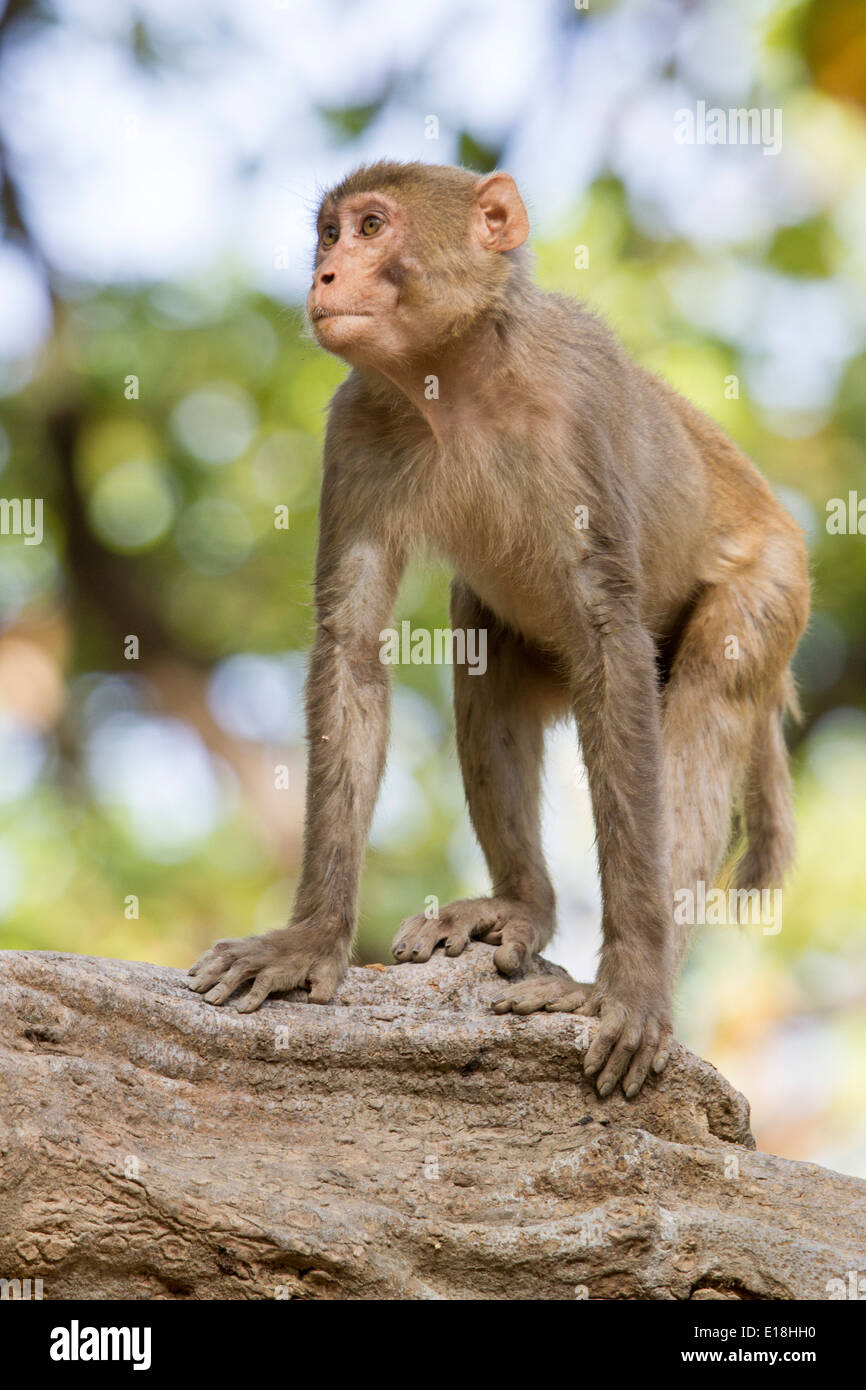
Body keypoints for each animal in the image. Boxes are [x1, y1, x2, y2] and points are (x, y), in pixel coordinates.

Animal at [188, 161, 809, 1099]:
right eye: (329, 234)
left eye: (371, 227)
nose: (324, 276)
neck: (461, 379)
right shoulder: (356, 423)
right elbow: (353, 648)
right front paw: (310, 941)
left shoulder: (578, 404)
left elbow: (611, 647)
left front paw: (631, 988)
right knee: (484, 644)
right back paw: (524, 903)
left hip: (773, 592)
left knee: (707, 705)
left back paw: (633, 977)